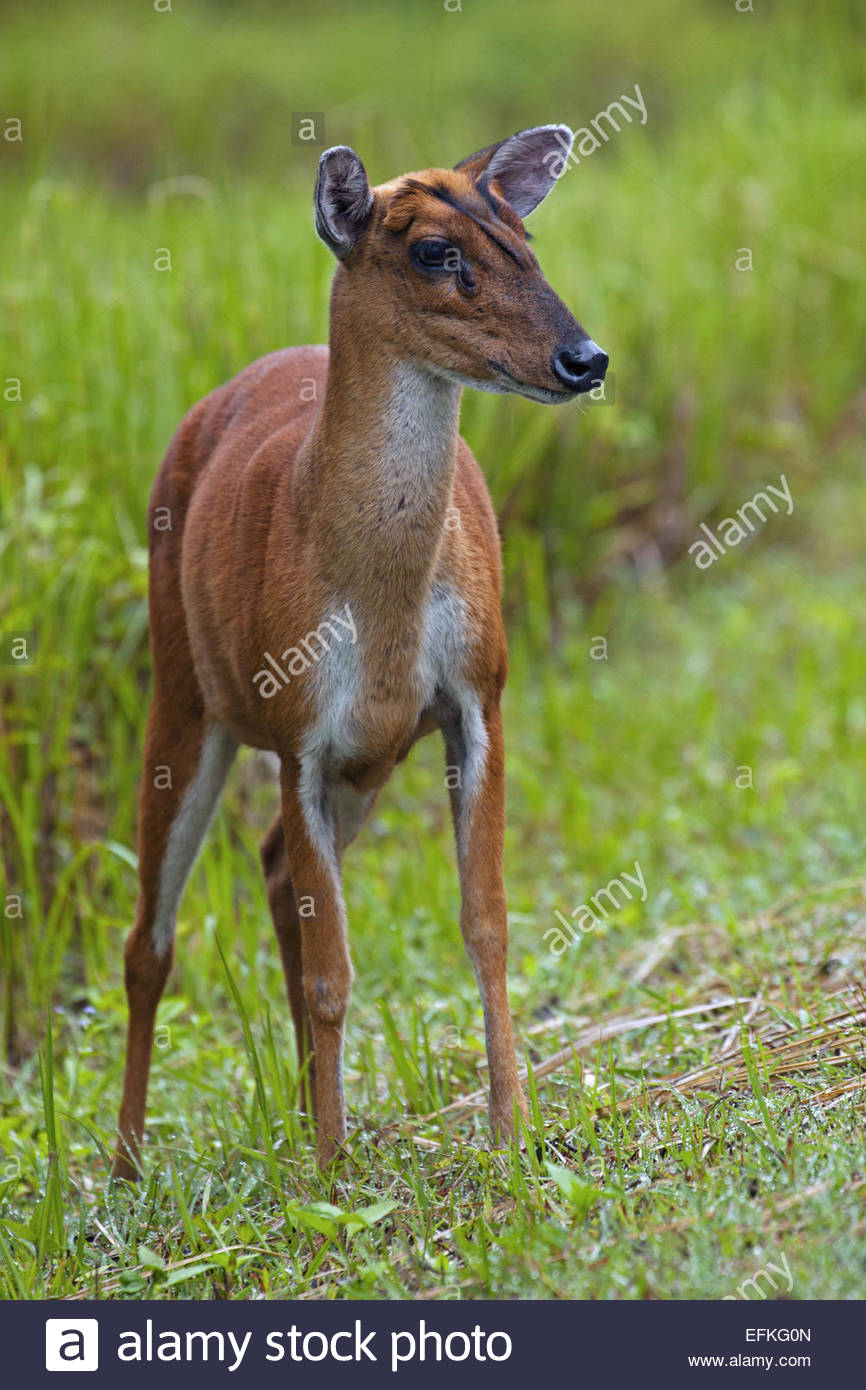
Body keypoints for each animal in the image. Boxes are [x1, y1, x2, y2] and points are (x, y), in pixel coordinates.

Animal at [112, 124, 608, 1180]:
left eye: (523, 237)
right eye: (434, 251)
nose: (584, 358)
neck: (377, 601)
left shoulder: (477, 696)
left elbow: (486, 922)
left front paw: (510, 1133)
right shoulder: (300, 732)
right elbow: (335, 971)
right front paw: (337, 1172)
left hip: (367, 764)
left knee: (269, 868)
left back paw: (304, 1109)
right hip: (183, 688)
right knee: (150, 938)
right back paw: (128, 1165)